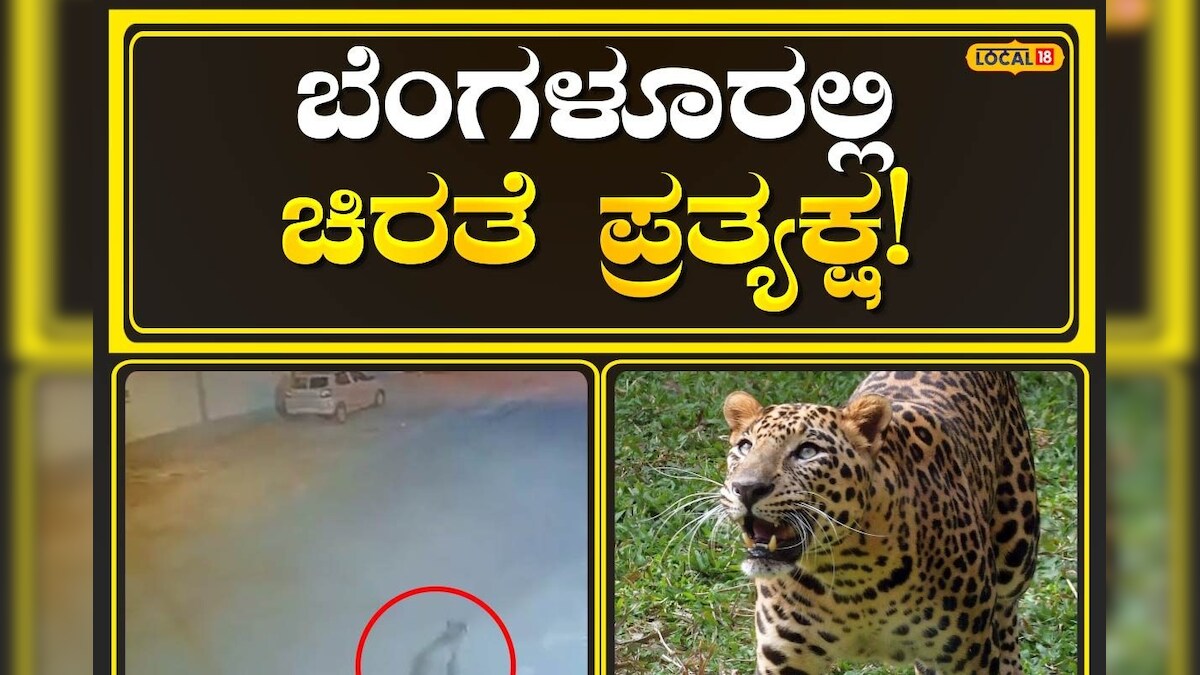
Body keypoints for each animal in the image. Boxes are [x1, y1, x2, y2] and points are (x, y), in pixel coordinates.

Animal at [719, 371, 1040, 675]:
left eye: (808, 452)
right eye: (745, 447)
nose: (746, 488)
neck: (852, 578)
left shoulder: (966, 655)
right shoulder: (785, 657)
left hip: (1016, 552)